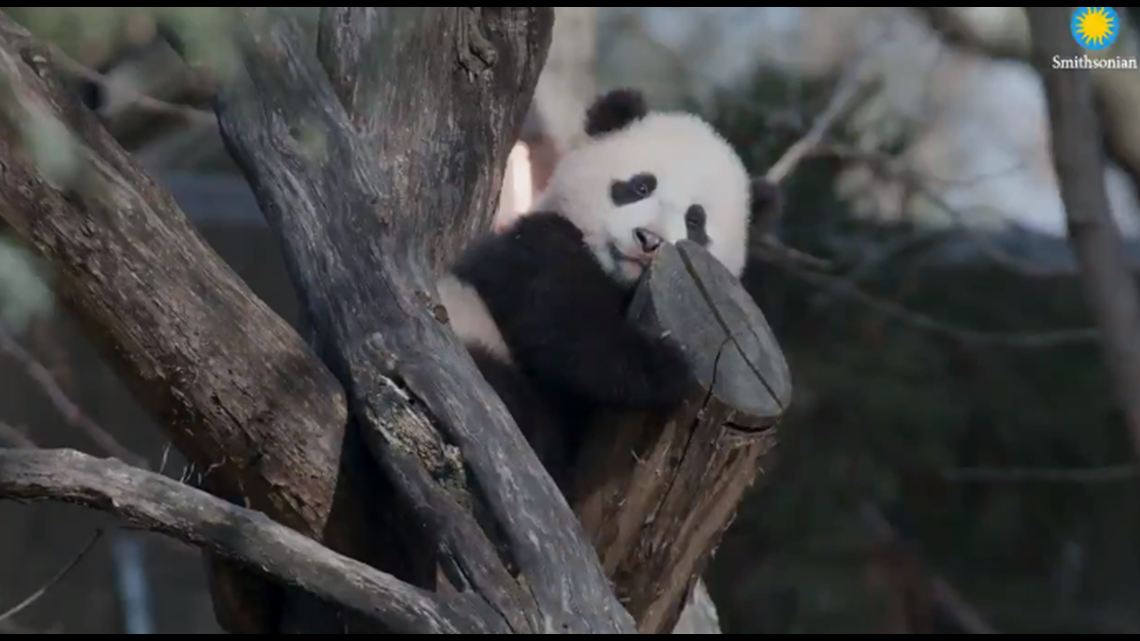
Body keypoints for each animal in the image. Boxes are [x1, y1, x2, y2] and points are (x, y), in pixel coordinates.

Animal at [437, 87, 782, 495]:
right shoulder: (529, 252)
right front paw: (669, 364)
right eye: (640, 186)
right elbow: (563, 324)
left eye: (695, 220)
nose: (649, 240)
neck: (615, 279)